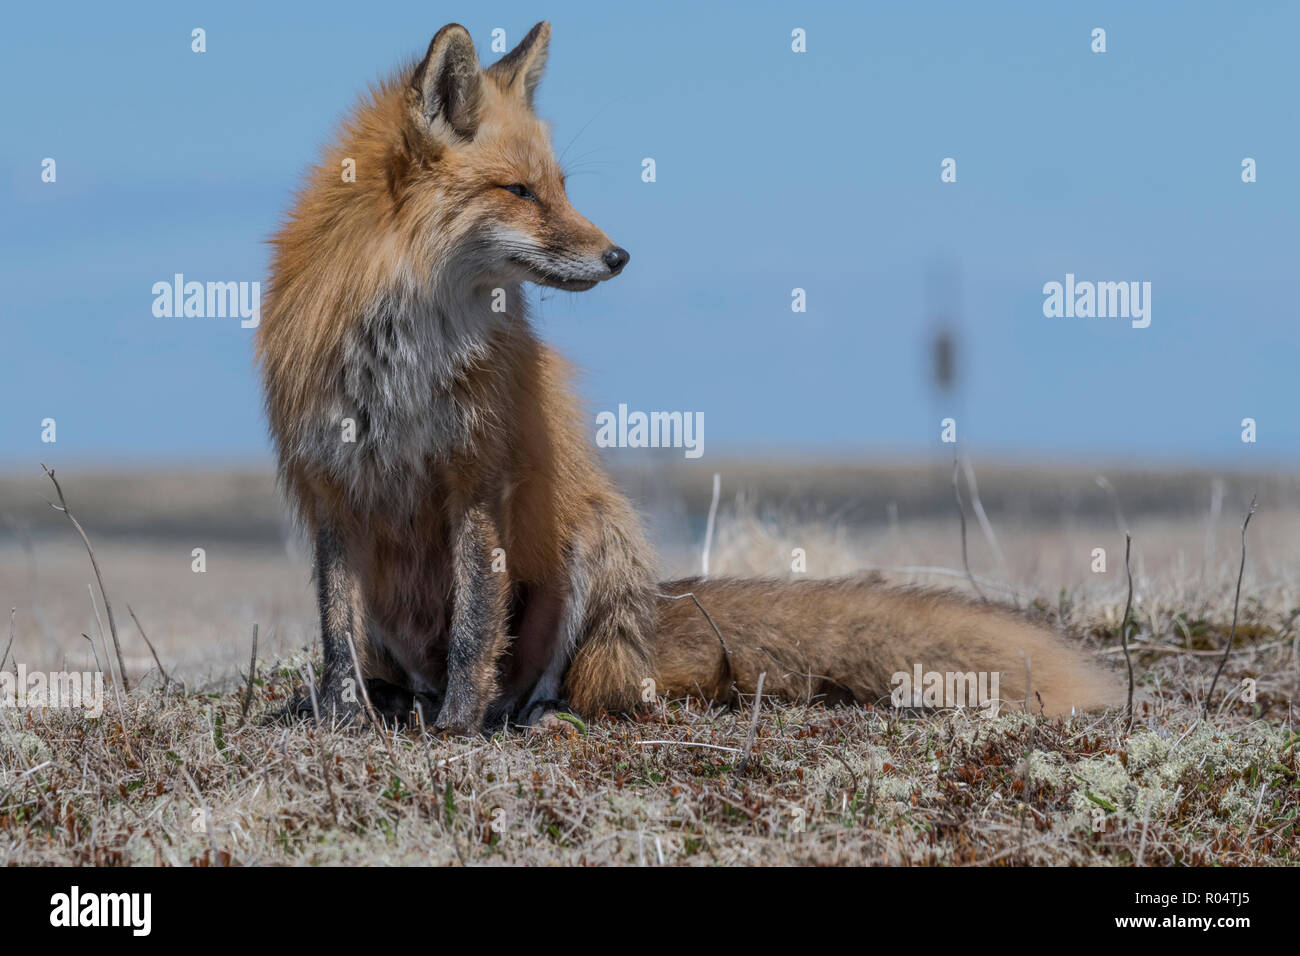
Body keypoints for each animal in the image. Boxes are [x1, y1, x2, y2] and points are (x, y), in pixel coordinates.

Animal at [256, 21, 1121, 734]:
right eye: (520, 192)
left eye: (562, 187)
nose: (618, 256)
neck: (405, 348)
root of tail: (649, 623)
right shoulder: (331, 481)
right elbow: (335, 633)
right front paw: (344, 719)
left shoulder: (477, 478)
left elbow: (476, 628)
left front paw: (458, 733)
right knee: (410, 669)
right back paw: (399, 702)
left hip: (596, 543)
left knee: (578, 686)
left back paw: (528, 716)